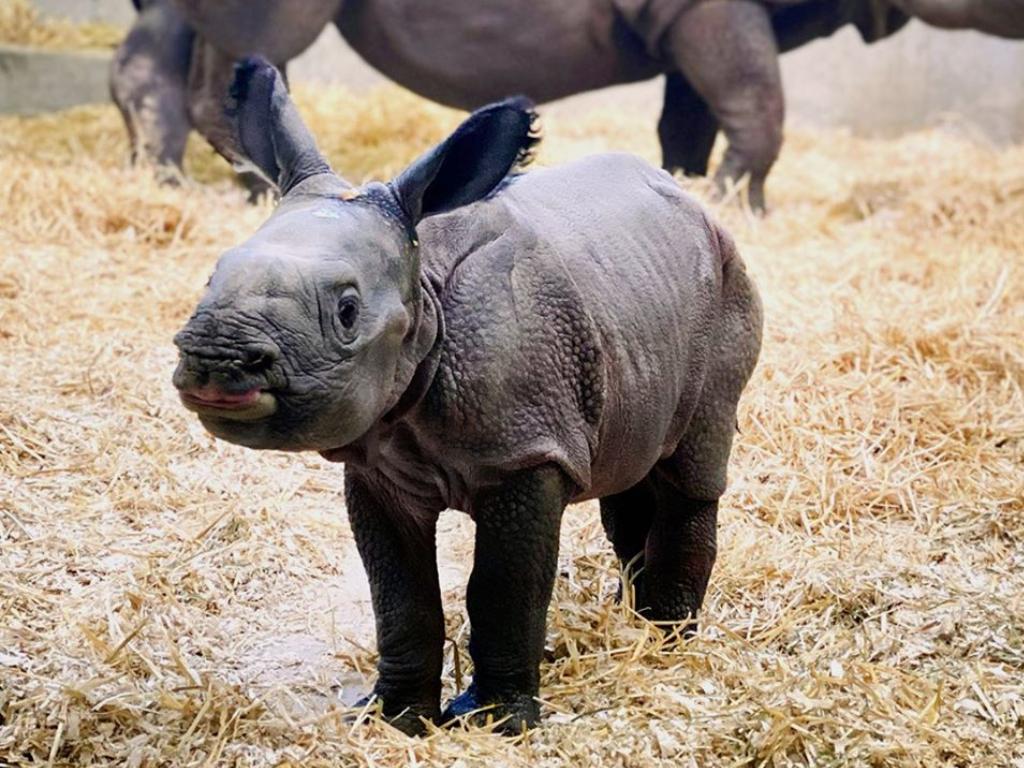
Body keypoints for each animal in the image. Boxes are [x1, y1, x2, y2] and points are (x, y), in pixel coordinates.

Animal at [171, 57, 763, 733]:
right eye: (211, 275)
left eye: (347, 312)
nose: (215, 358)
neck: (422, 289)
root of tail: (697, 207)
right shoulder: (379, 466)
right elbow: (400, 596)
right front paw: (394, 717)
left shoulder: (526, 452)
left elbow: (502, 589)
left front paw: (498, 721)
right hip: (631, 301)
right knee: (631, 469)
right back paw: (629, 624)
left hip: (727, 288)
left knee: (692, 469)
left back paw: (665, 641)